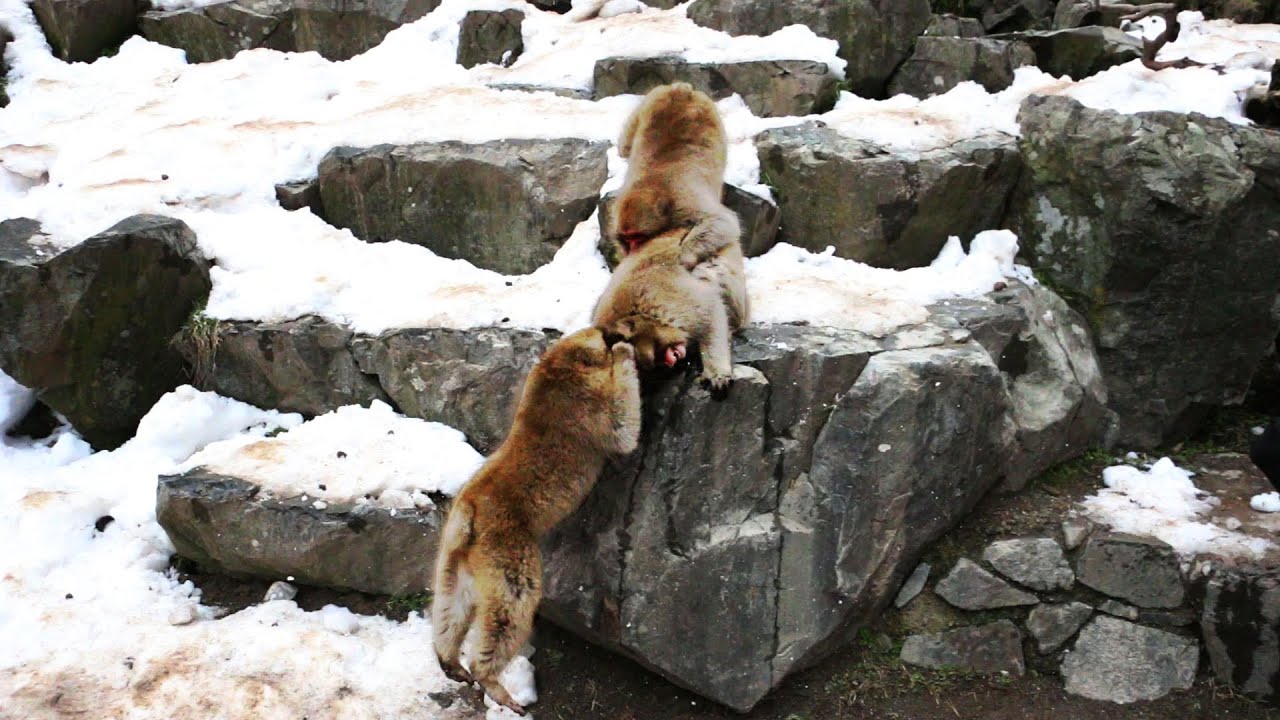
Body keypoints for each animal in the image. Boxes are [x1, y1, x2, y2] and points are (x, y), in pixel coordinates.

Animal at [430, 327, 642, 716]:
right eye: (602, 336)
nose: (614, 333)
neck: (555, 371)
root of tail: (470, 510)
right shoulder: (590, 405)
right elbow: (621, 428)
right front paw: (623, 352)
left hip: (453, 563)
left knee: (449, 611)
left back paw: (451, 664)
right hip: (510, 565)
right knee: (506, 617)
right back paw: (502, 692)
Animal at [592, 224, 746, 396]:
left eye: (656, 353)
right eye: (658, 361)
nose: (671, 359)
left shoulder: (676, 305)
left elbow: (711, 312)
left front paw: (717, 374)